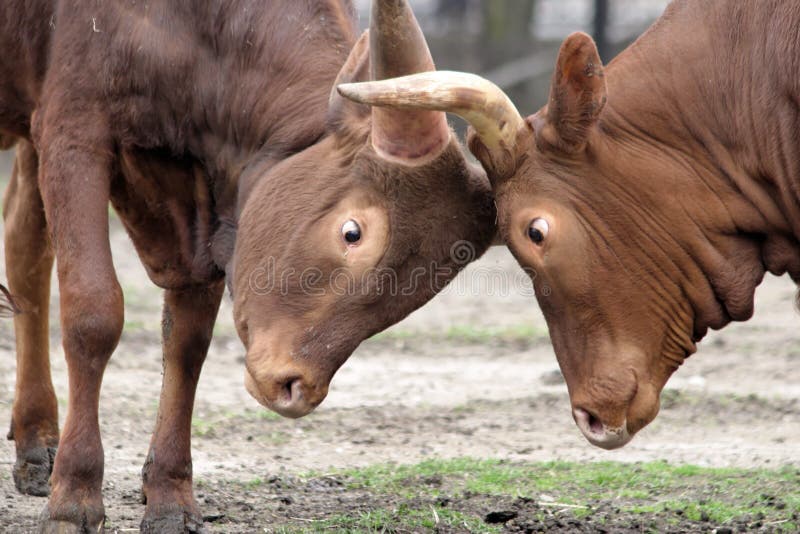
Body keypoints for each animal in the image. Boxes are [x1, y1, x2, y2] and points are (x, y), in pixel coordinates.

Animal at [0, 0, 495, 531]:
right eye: (352, 232)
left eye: (432, 281)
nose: (294, 386)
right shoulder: (73, 135)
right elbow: (93, 317)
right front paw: (74, 496)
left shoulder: (208, 201)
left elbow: (187, 342)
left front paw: (170, 494)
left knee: (25, 248)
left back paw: (35, 440)